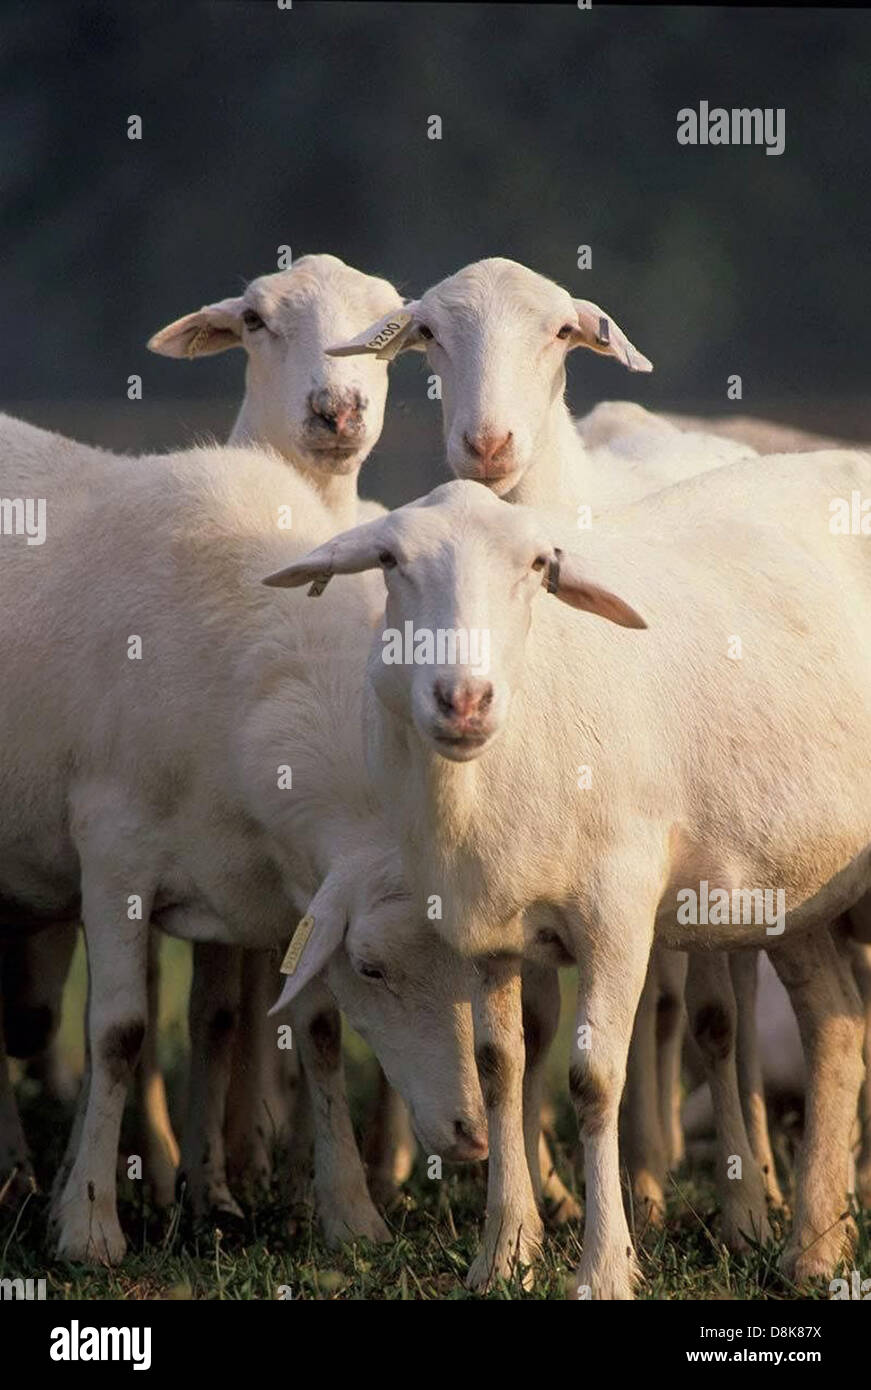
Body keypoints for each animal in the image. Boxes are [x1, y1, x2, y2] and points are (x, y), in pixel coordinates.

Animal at [0, 425, 487, 1263]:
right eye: (373, 967)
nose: (468, 1136)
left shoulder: (288, 890)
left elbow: (317, 1034)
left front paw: (349, 1213)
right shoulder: (114, 855)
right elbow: (119, 1034)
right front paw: (91, 1226)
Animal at [269, 448, 871, 1297]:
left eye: (537, 567)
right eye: (389, 561)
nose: (464, 699)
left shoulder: (617, 907)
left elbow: (592, 1080)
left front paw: (604, 1267)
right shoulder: (481, 921)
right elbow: (500, 1067)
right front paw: (502, 1255)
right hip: (794, 880)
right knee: (837, 1024)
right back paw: (813, 1249)